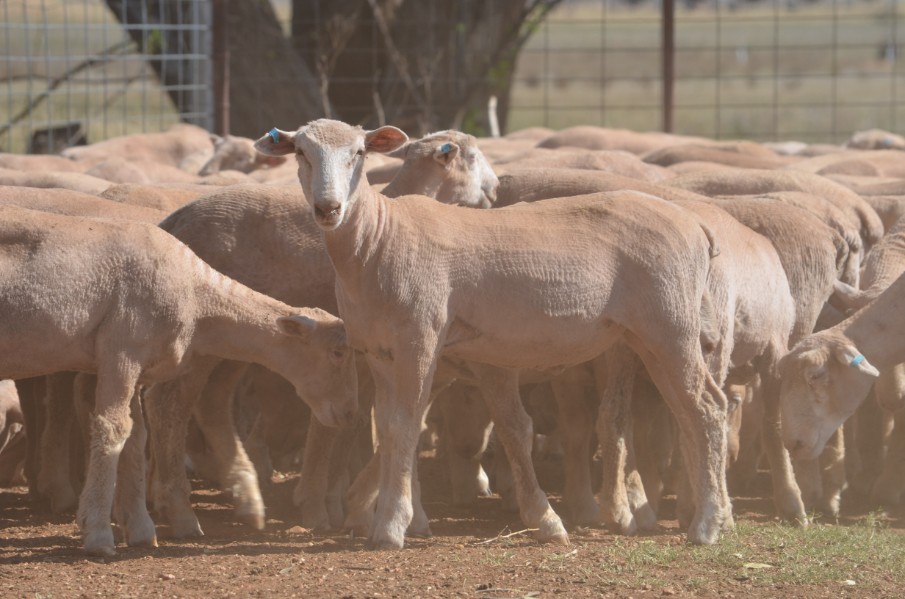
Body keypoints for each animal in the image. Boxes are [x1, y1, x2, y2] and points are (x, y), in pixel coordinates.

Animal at [0, 205, 357, 555]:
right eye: (338, 352)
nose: (349, 413)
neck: (199, 300)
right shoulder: (122, 352)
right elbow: (112, 431)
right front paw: (98, 532)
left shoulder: (140, 364)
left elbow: (136, 438)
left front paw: (142, 529)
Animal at [256, 119, 732, 549]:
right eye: (301, 153)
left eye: (359, 153)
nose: (328, 209)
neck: (379, 238)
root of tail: (696, 225)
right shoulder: (380, 352)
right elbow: (389, 429)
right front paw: (380, 518)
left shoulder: (420, 342)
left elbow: (407, 427)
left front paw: (391, 526)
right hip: (646, 337)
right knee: (692, 411)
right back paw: (702, 513)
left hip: (672, 326)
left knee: (707, 408)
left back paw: (706, 524)